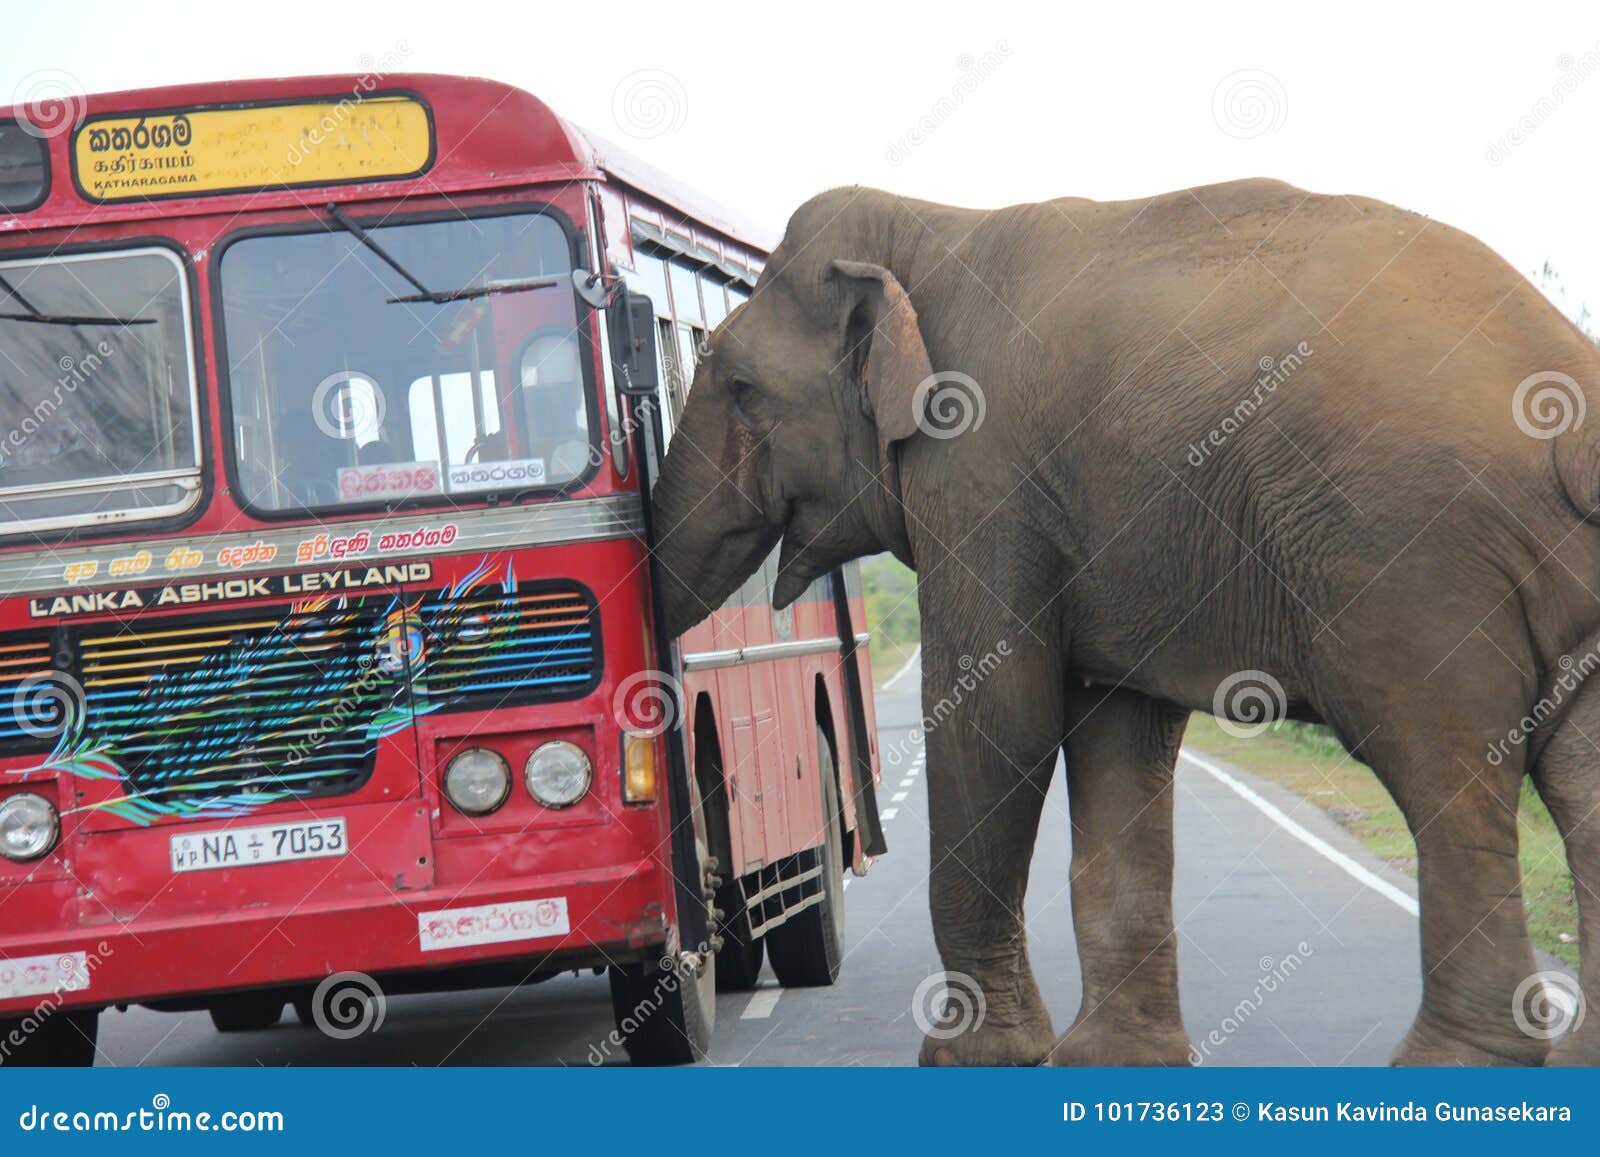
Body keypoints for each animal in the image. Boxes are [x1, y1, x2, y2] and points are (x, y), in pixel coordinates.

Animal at [648, 178, 1600, 1067]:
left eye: (741, 391)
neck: (925, 228)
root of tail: (1570, 402)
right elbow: (1117, 730)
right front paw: (1115, 1058)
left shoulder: (981, 474)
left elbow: (999, 716)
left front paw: (976, 1057)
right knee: (1576, 781)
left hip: (1410, 560)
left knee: (1443, 762)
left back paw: (1456, 1060)